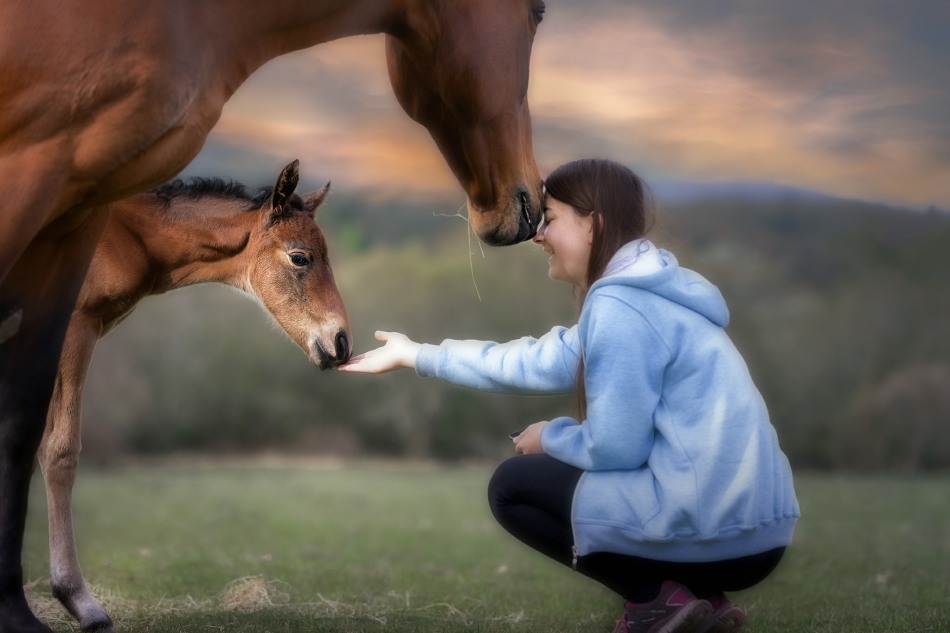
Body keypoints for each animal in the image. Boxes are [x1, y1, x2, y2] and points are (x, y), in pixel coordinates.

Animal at [36, 159, 350, 631]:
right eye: (300, 257)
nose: (341, 343)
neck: (125, 235)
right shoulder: (75, 326)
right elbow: (59, 451)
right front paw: (80, 602)